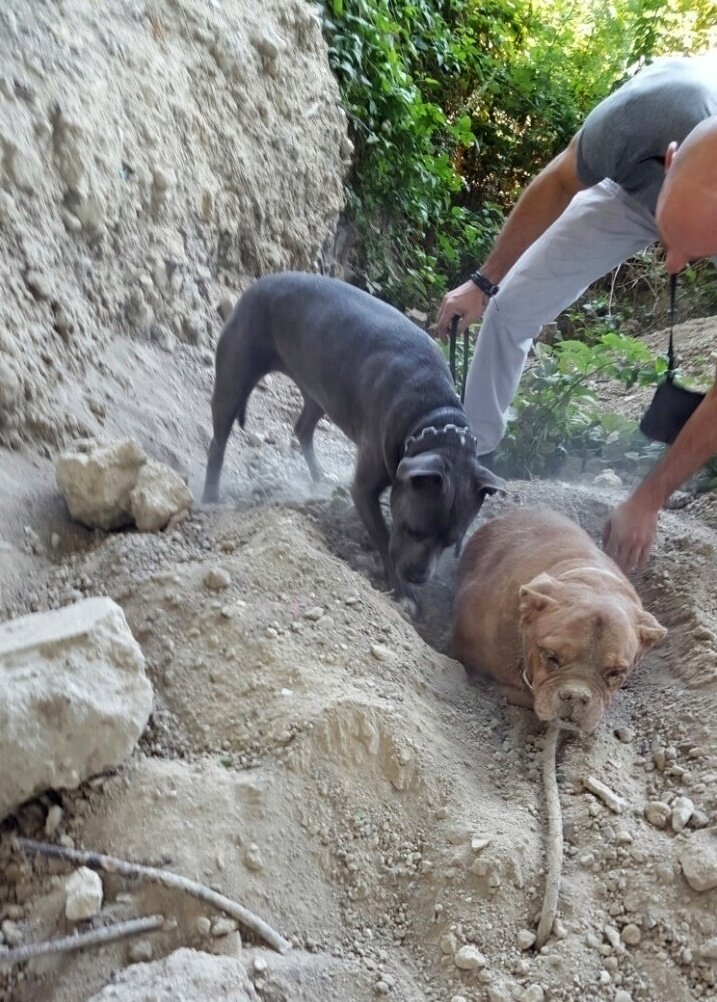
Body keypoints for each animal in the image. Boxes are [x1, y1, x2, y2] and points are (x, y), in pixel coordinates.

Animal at [201, 272, 504, 601]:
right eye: (412, 529)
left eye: (451, 542)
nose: (419, 577)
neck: (434, 417)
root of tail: (261, 282)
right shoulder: (364, 490)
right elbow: (384, 538)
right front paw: (402, 593)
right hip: (234, 379)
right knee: (218, 442)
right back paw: (210, 496)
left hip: (320, 391)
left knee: (303, 428)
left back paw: (319, 475)